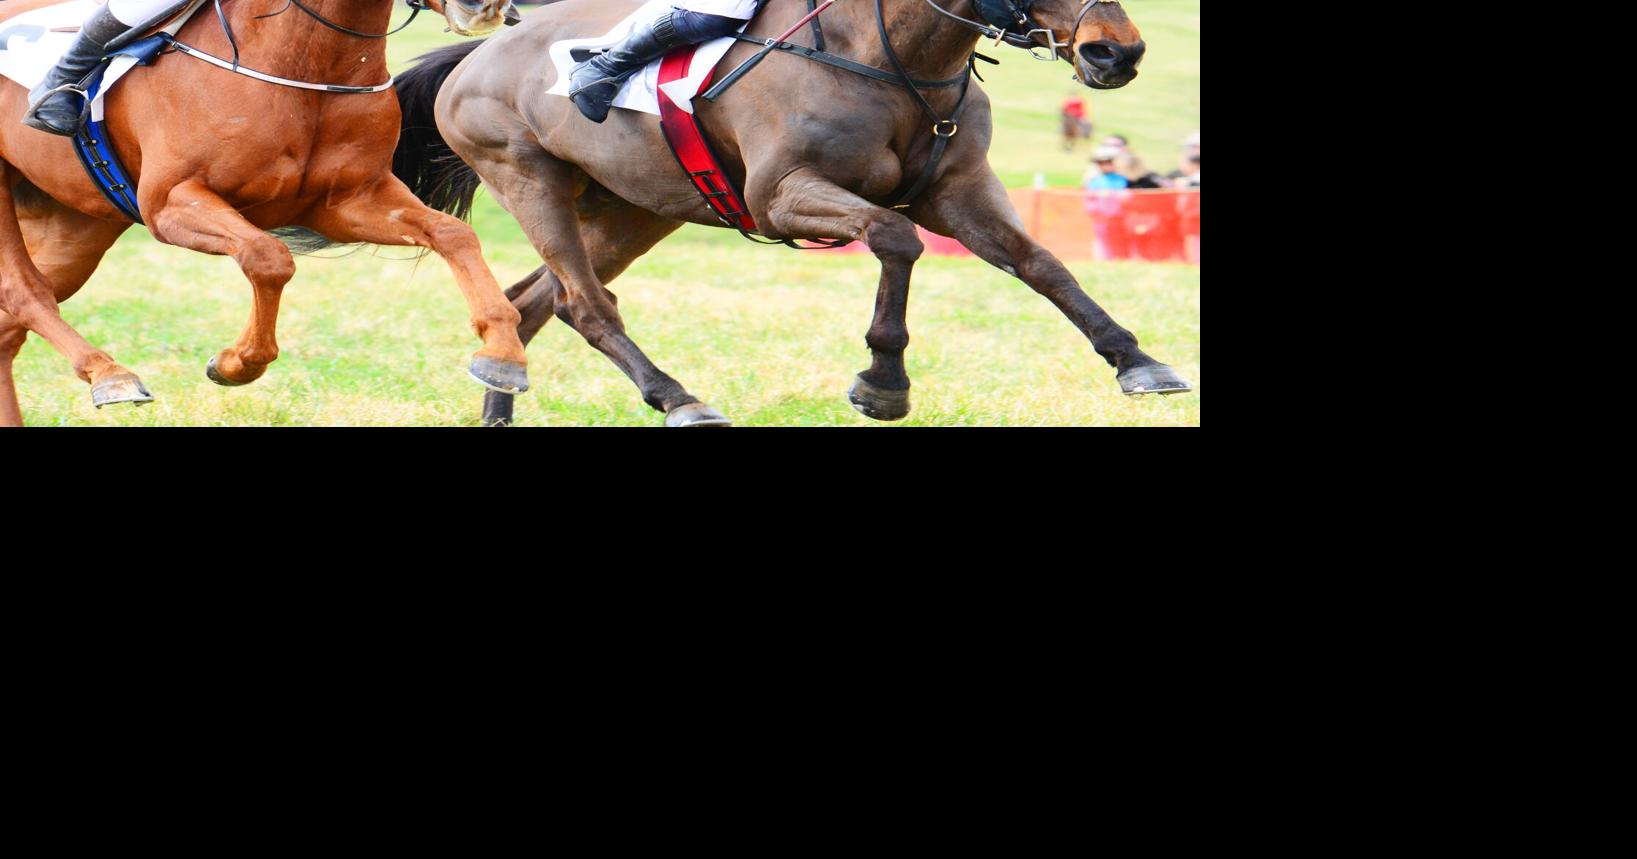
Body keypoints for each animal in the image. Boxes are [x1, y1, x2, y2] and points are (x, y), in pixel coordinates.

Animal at [0, 0, 528, 427]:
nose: (484, 5)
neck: (307, 65)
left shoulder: (352, 201)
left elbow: (453, 234)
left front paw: (503, 353)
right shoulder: (171, 203)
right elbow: (267, 256)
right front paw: (237, 364)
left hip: (75, 224)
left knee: (11, 325)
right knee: (25, 295)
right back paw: (111, 375)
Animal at [390, 0, 1192, 427]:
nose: (1116, 53)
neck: (889, 58)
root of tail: (479, 52)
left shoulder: (959, 190)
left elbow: (1042, 264)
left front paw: (1136, 359)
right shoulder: (782, 197)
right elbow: (897, 237)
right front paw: (883, 379)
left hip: (634, 208)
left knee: (533, 304)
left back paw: (501, 394)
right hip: (528, 179)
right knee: (585, 306)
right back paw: (679, 399)